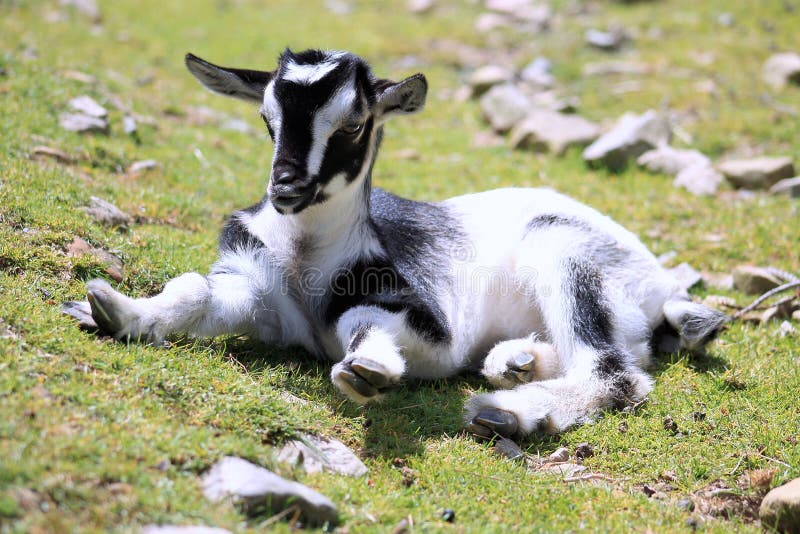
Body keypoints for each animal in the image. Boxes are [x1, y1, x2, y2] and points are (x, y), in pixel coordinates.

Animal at [64, 49, 727, 439]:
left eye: (354, 124)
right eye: (266, 119)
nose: (286, 187)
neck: (307, 264)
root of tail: (662, 284)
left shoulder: (427, 324)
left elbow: (364, 325)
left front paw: (371, 370)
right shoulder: (260, 297)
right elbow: (195, 291)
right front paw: (114, 310)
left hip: (563, 250)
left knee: (619, 372)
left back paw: (509, 411)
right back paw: (516, 364)